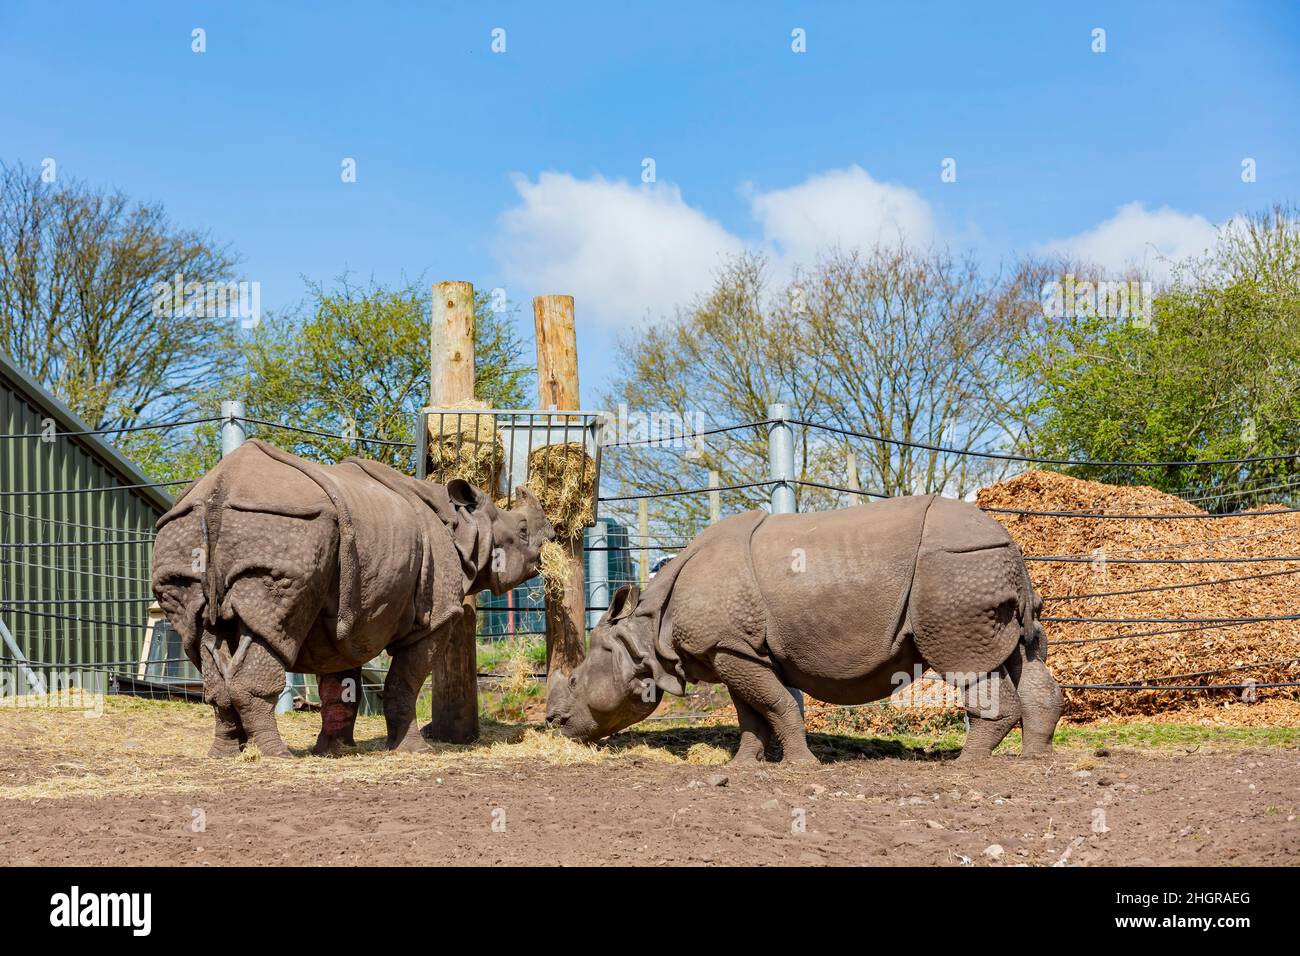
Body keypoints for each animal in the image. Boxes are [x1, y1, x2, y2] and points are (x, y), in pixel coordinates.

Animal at [152, 439, 554, 757]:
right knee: (272, 626)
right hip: (283, 527)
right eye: (522, 530)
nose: (550, 537)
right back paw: (277, 756)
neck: (467, 528)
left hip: (185, 532)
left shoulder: (346, 617)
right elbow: (403, 683)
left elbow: (340, 688)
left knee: (202, 637)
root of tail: (220, 488)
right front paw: (413, 750)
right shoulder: (436, 616)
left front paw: (334, 750)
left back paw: (223, 754)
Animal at [546, 495, 1063, 763]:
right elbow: (752, 713)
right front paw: (745, 766)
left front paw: (801, 766)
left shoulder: (729, 647)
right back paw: (1033, 761)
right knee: (1020, 657)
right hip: (984, 570)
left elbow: (775, 705)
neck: (646, 633)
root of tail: (1011, 544)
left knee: (967, 666)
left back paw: (966, 766)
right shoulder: (733, 649)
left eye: (574, 681)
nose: (554, 723)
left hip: (956, 572)